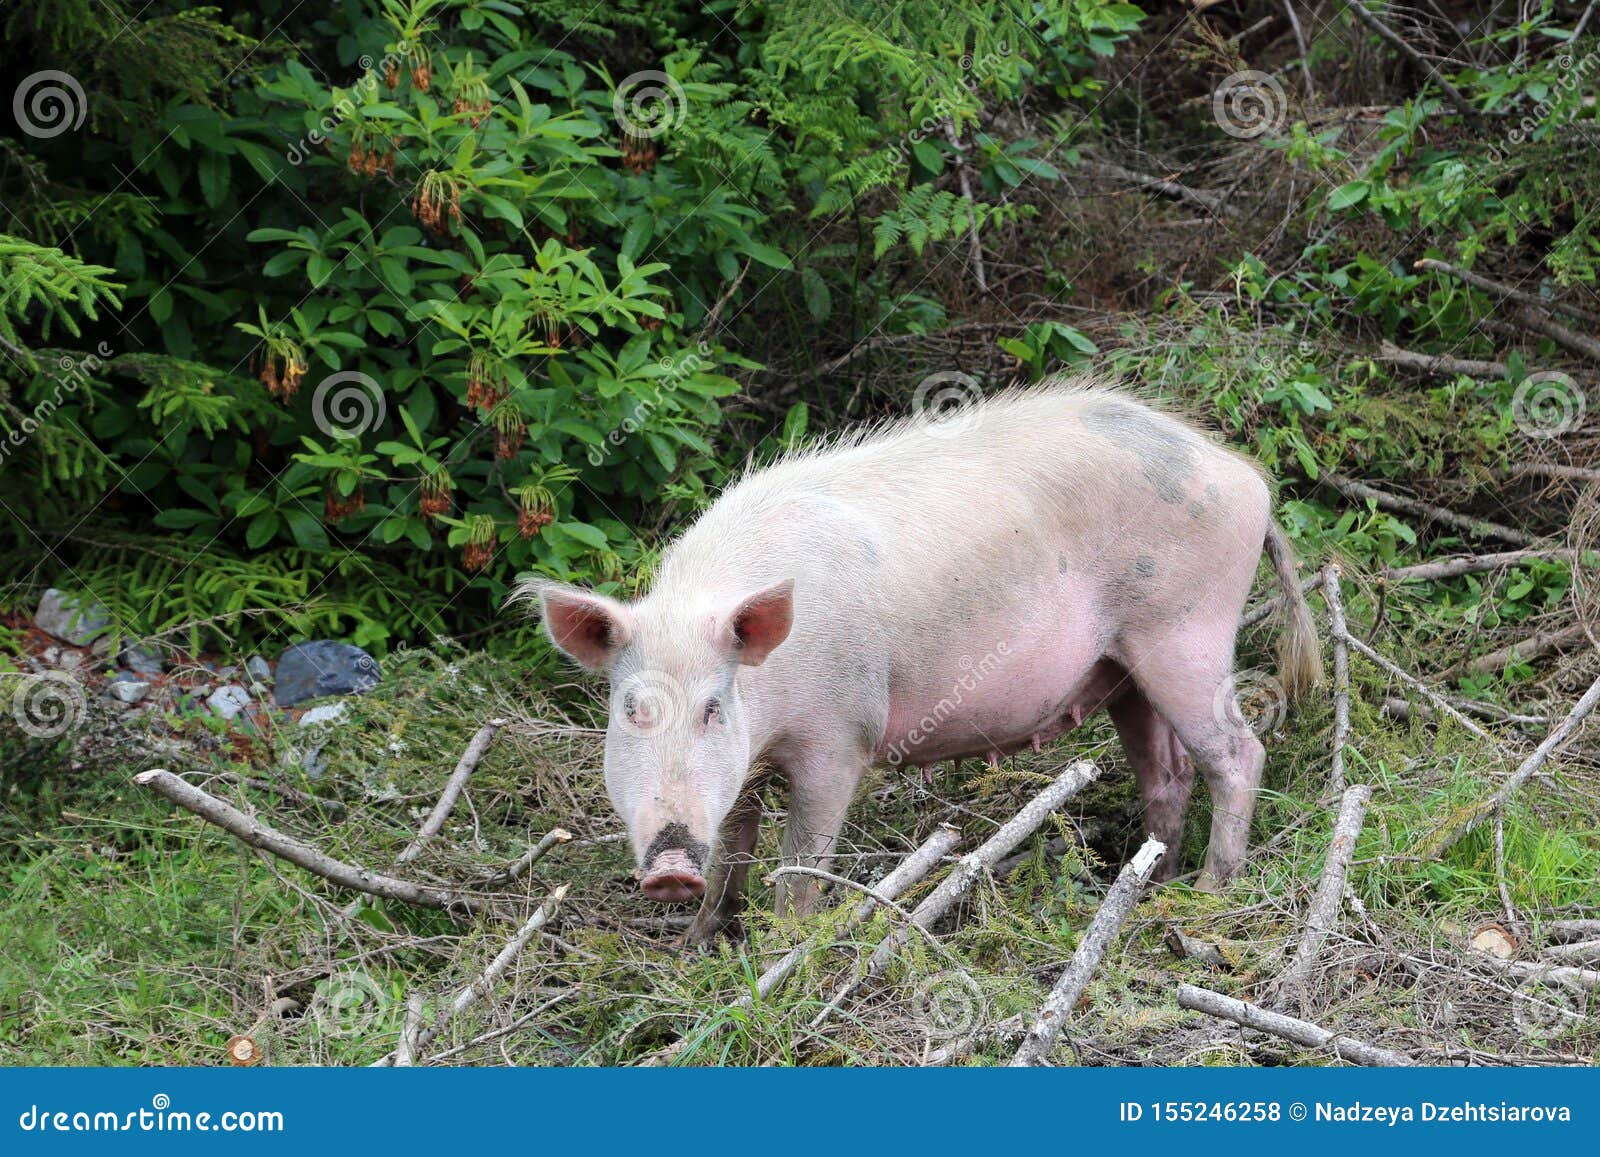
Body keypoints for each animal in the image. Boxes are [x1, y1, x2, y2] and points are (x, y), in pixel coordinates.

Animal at [520, 378, 1320, 942]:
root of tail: (1247, 477)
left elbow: (800, 857)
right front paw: (696, 943)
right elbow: (731, 851)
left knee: (1238, 753)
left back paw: (1210, 893)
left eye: (714, 708)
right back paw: (1153, 884)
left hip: (1186, 633)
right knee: (1167, 774)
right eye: (633, 709)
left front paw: (783, 948)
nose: (667, 871)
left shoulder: (839, 737)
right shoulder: (744, 771)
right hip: (1125, 668)